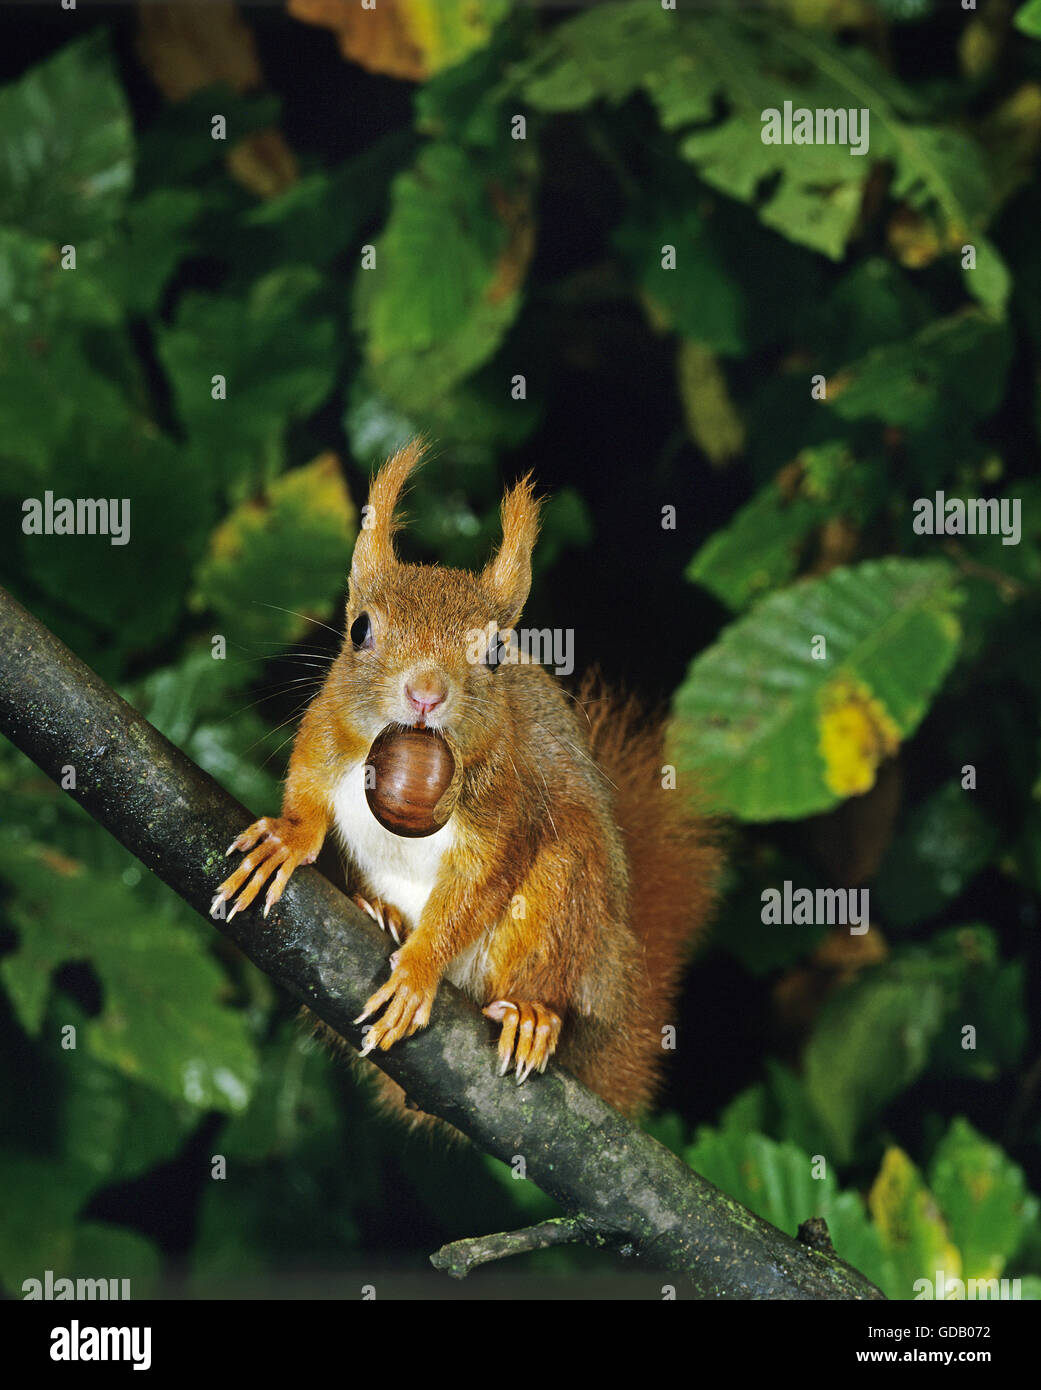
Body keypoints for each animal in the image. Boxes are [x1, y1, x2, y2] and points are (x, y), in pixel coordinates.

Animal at [211, 439, 721, 1120]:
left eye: (496, 651)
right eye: (360, 630)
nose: (426, 694)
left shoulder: (505, 798)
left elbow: (477, 887)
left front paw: (418, 971)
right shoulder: (330, 724)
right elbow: (309, 785)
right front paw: (286, 841)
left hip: (566, 903)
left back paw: (533, 1015)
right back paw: (379, 910)